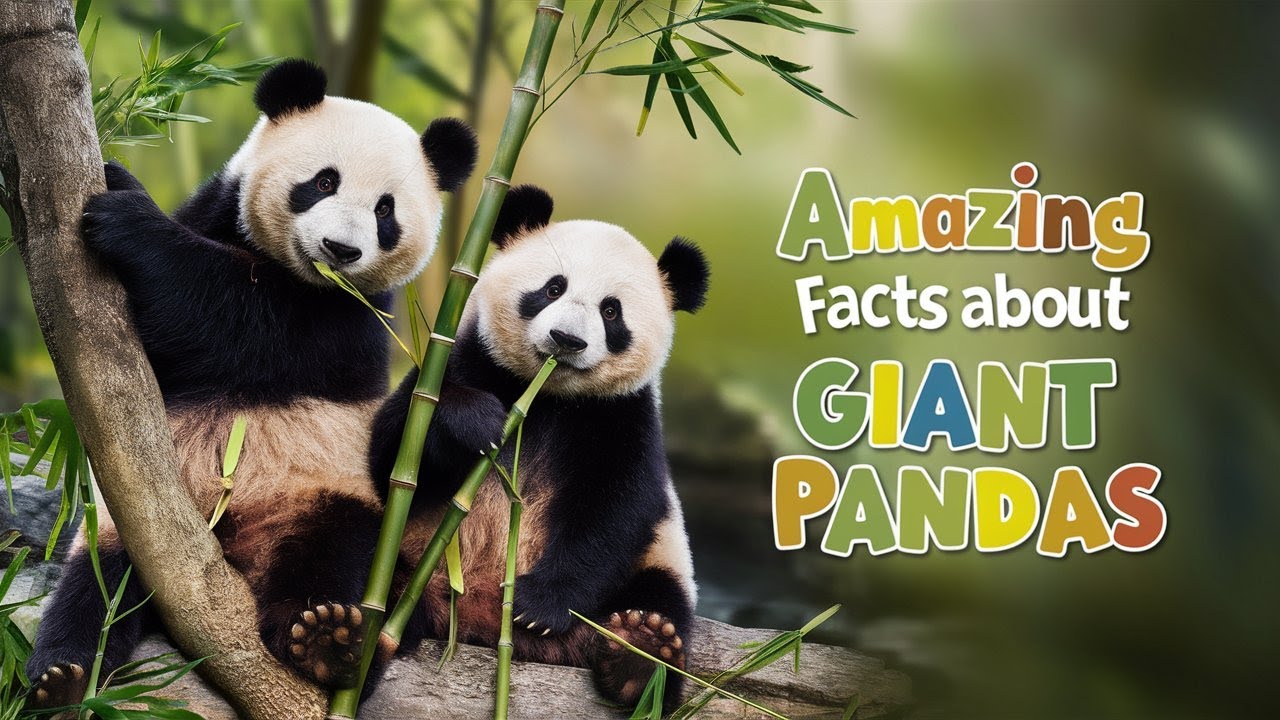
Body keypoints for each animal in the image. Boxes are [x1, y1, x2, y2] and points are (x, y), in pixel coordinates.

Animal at [25, 59, 477, 708]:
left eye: (386, 211)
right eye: (323, 182)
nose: (340, 249)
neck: (300, 272)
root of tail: (238, 553)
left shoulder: (353, 319)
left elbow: (241, 317)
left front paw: (130, 221)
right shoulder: (215, 213)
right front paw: (116, 178)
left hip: (324, 500)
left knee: (335, 561)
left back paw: (329, 643)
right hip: (129, 531)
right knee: (96, 588)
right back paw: (63, 676)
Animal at [368, 185, 710, 708]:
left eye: (611, 311)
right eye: (553, 288)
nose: (566, 339)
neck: (548, 396)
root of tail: (479, 618)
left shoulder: (622, 416)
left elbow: (618, 506)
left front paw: (538, 606)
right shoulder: (464, 359)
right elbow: (391, 451)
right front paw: (476, 422)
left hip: (655, 563)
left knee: (659, 601)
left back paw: (639, 653)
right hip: (405, 553)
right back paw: (347, 638)